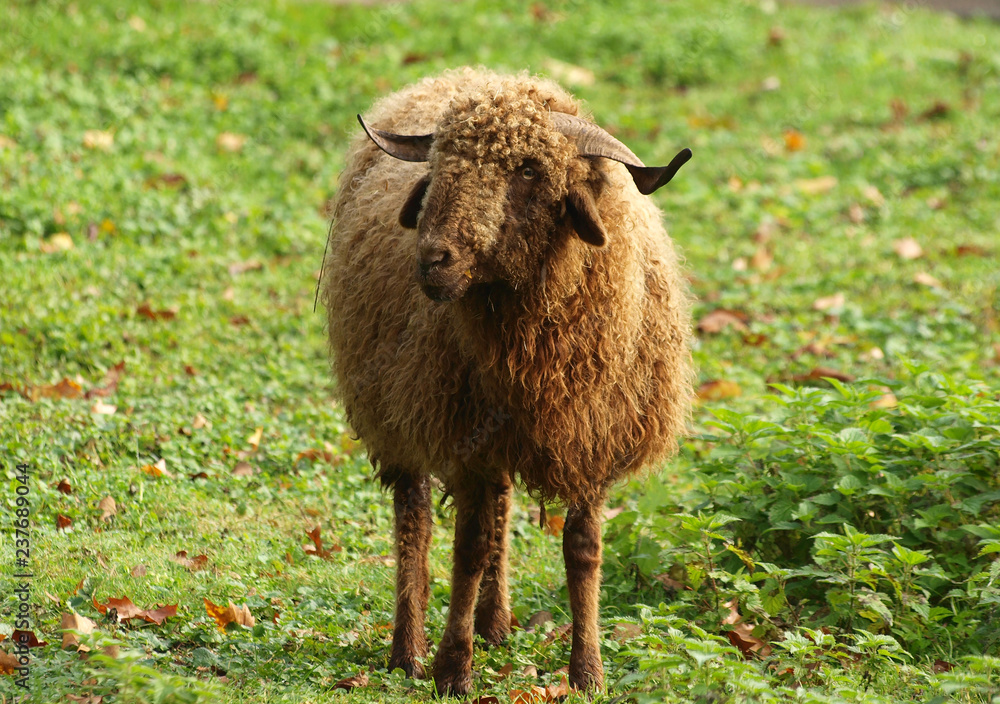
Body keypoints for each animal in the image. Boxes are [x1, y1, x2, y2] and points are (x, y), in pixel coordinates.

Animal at [322, 67, 694, 696]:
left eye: (528, 170)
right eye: (440, 161)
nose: (433, 259)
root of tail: (470, 74)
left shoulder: (591, 437)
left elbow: (583, 551)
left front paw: (588, 671)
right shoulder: (465, 438)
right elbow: (466, 550)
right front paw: (452, 670)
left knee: (499, 506)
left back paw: (495, 624)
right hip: (399, 411)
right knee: (414, 520)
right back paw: (407, 651)